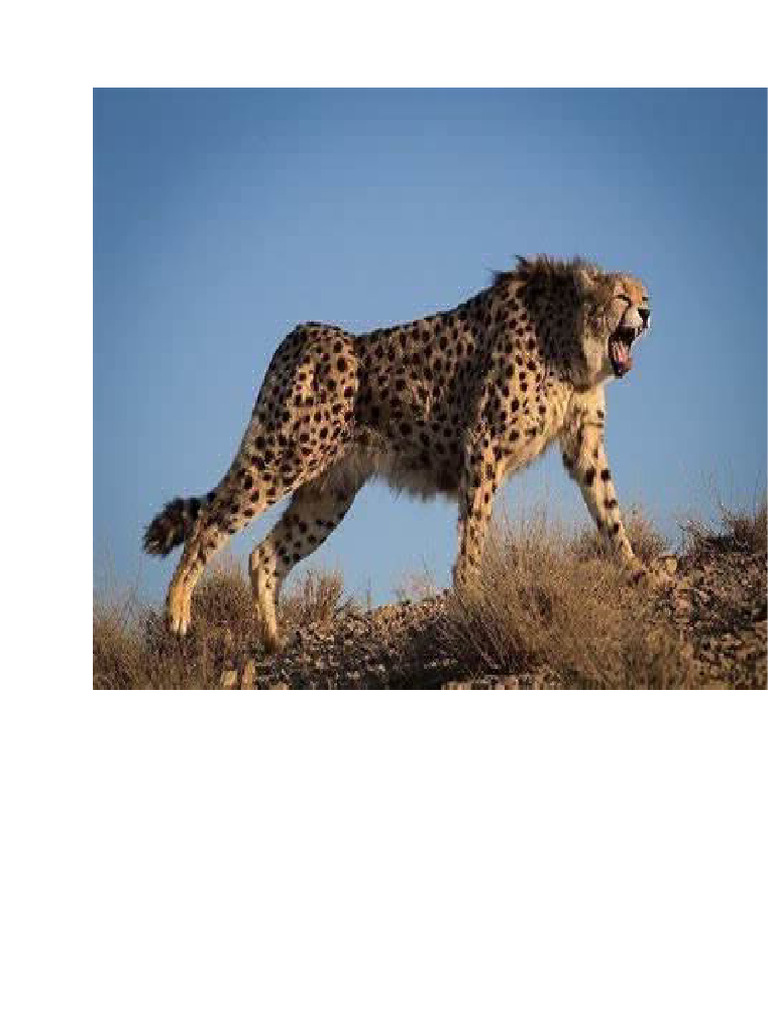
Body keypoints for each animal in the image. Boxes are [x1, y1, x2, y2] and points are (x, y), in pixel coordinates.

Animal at [144, 255, 653, 649]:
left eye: (644, 295)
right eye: (621, 297)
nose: (647, 312)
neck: (568, 339)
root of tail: (304, 334)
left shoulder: (584, 442)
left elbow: (608, 507)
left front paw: (635, 569)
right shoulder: (483, 444)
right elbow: (475, 528)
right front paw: (470, 593)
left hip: (328, 494)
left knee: (265, 555)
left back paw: (272, 641)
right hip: (288, 454)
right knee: (211, 523)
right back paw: (178, 609)